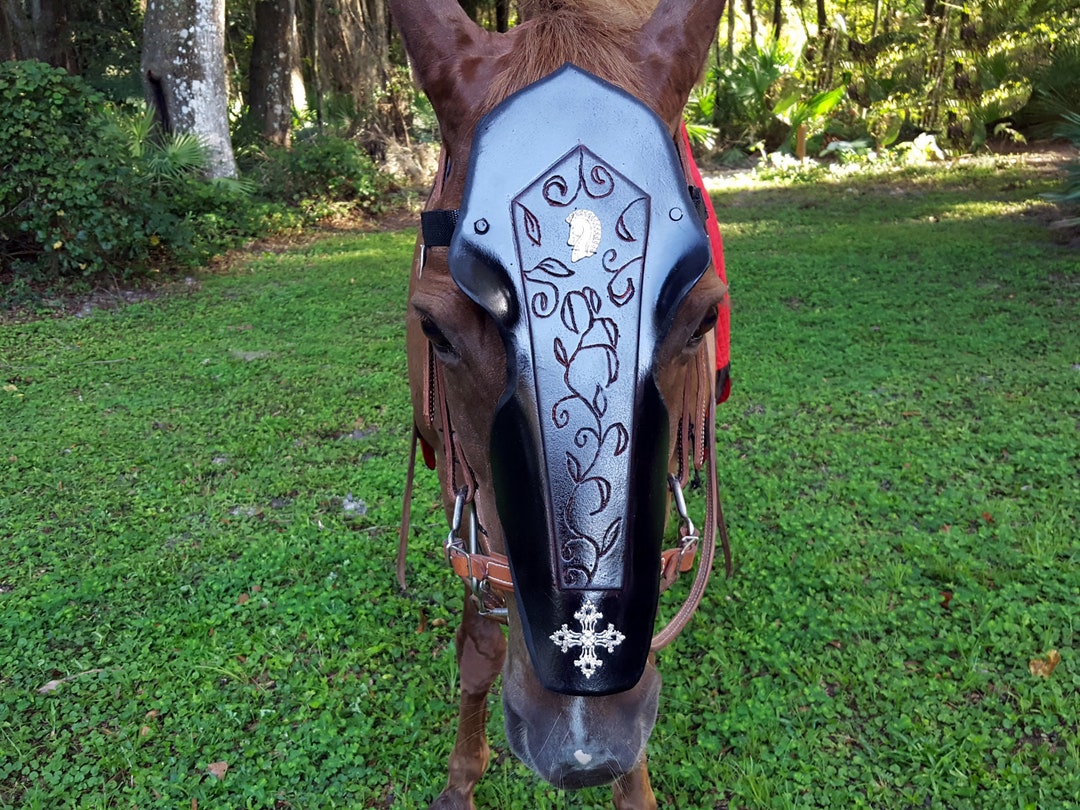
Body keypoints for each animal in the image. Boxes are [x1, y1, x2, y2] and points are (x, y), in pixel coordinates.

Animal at [391, 2, 731, 807]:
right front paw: (461, 779)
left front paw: (632, 782)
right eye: (435, 332)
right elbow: (481, 637)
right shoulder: (465, 483)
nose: (583, 748)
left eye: (704, 318)